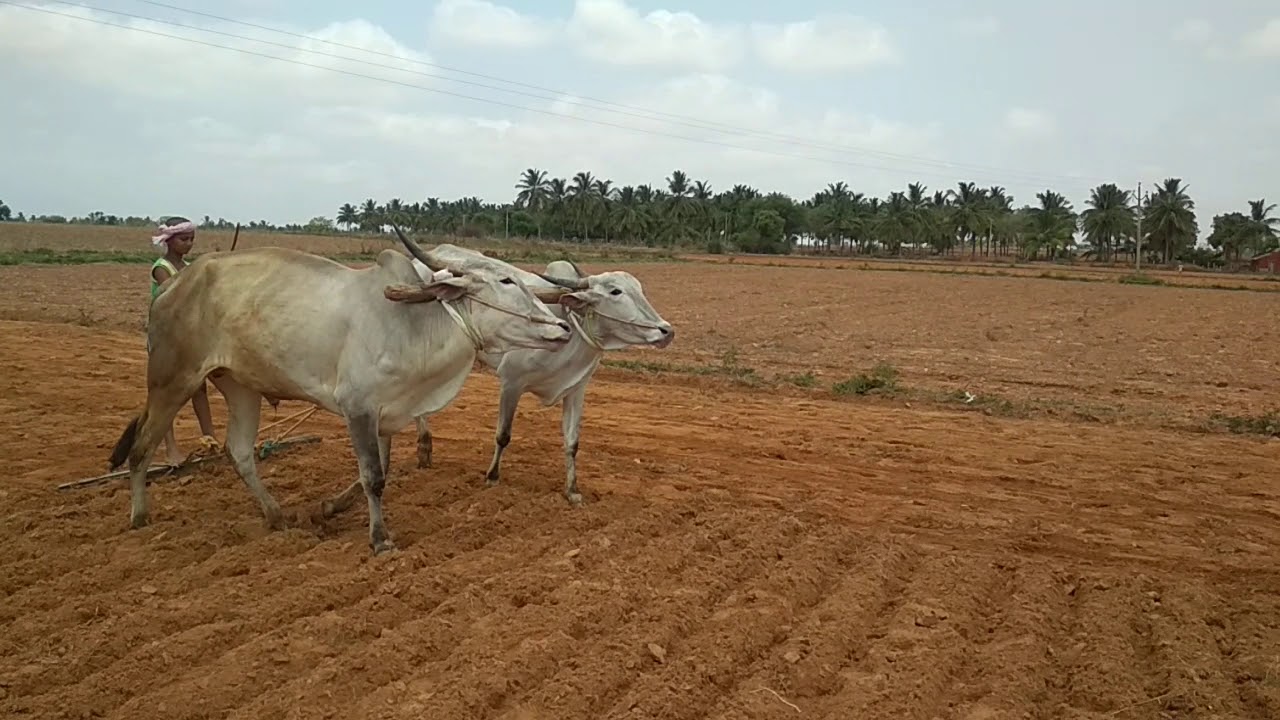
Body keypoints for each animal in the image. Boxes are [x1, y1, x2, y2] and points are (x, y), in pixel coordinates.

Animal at [106, 226, 574, 555]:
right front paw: (380, 539)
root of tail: (173, 285)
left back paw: (277, 517)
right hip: (172, 379)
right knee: (141, 448)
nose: (563, 327)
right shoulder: (358, 407)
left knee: (238, 452)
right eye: (508, 282)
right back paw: (139, 519)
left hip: (240, 386)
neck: (414, 324)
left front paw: (330, 508)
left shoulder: (387, 413)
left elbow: (380, 470)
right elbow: (373, 477)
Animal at [407, 244, 674, 505]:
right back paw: (424, 447)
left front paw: (573, 491)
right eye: (615, 291)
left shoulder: (576, 390)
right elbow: (503, 435)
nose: (667, 331)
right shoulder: (511, 383)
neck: (569, 326)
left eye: (639, 289)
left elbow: (572, 442)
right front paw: (492, 477)